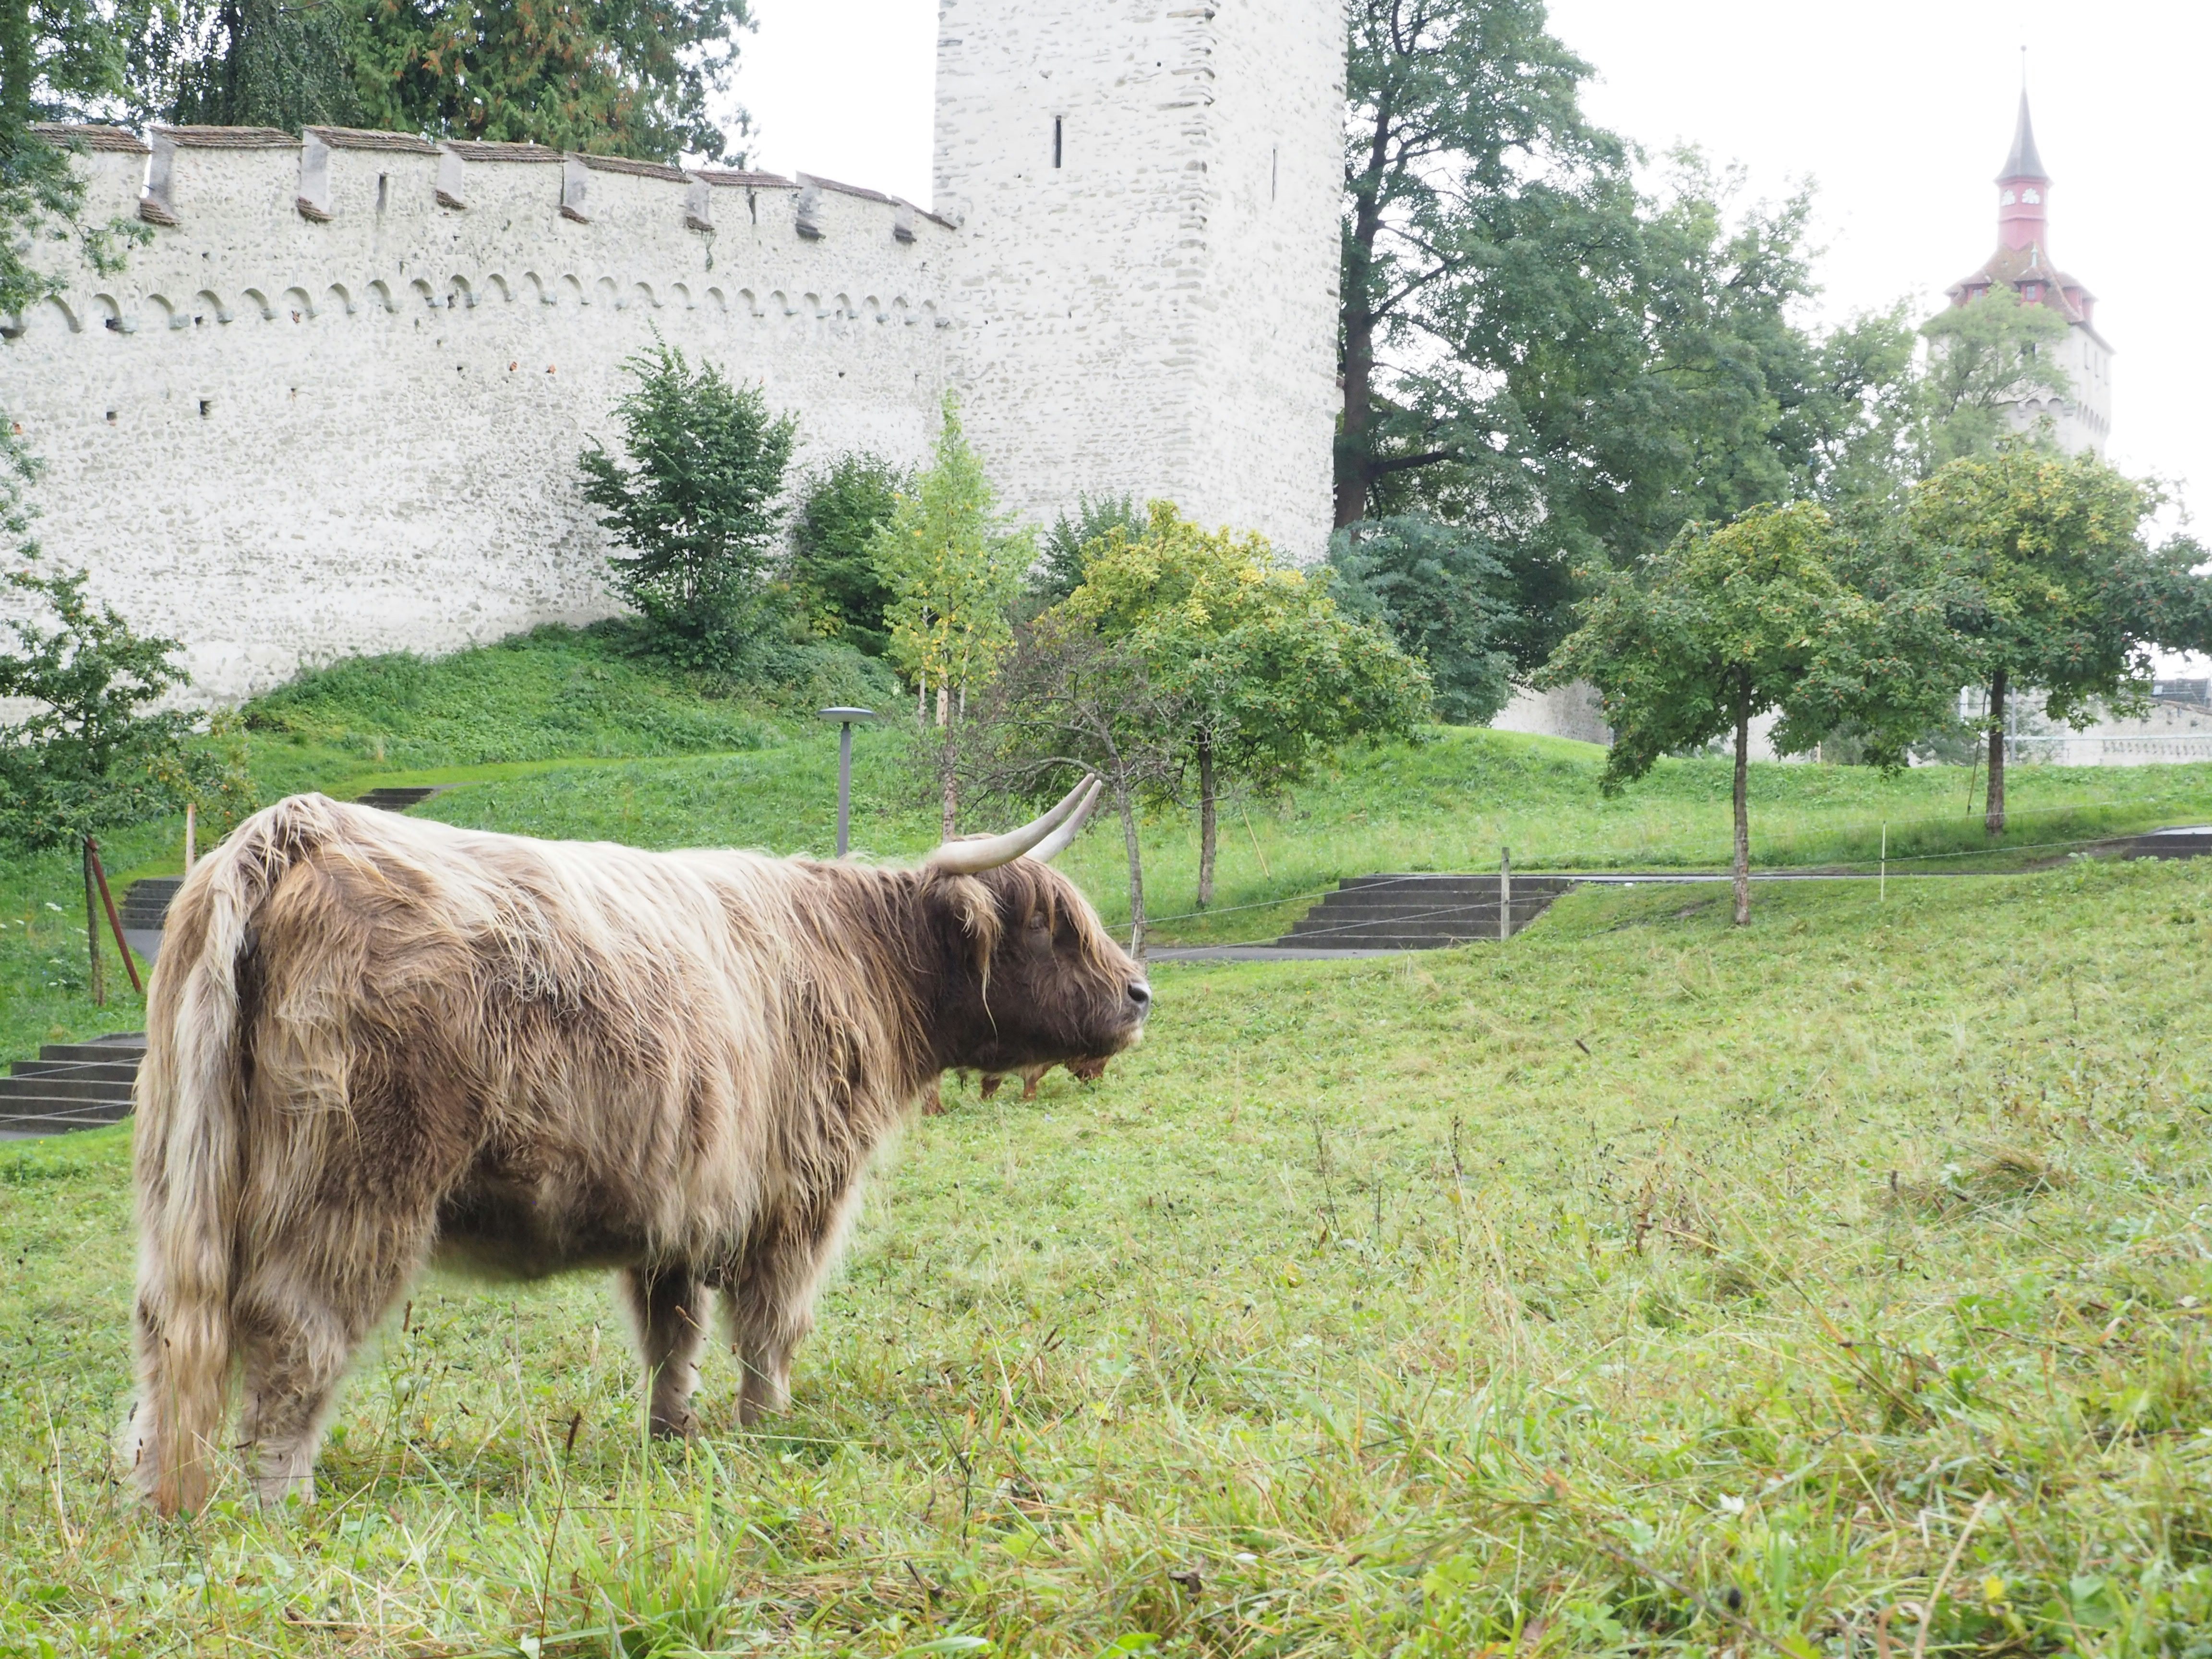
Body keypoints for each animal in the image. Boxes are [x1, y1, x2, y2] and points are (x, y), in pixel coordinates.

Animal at [124, 777, 1144, 1516]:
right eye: (1048, 925)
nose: (1140, 994)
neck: (864, 960)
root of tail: (293, 830)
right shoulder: (798, 1199)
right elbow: (770, 1332)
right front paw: (767, 1433)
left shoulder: (680, 1211)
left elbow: (671, 1339)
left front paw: (675, 1440)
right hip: (355, 1191)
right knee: (297, 1336)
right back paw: (281, 1507)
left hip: (185, 1185)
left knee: (170, 1334)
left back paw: (151, 1500)